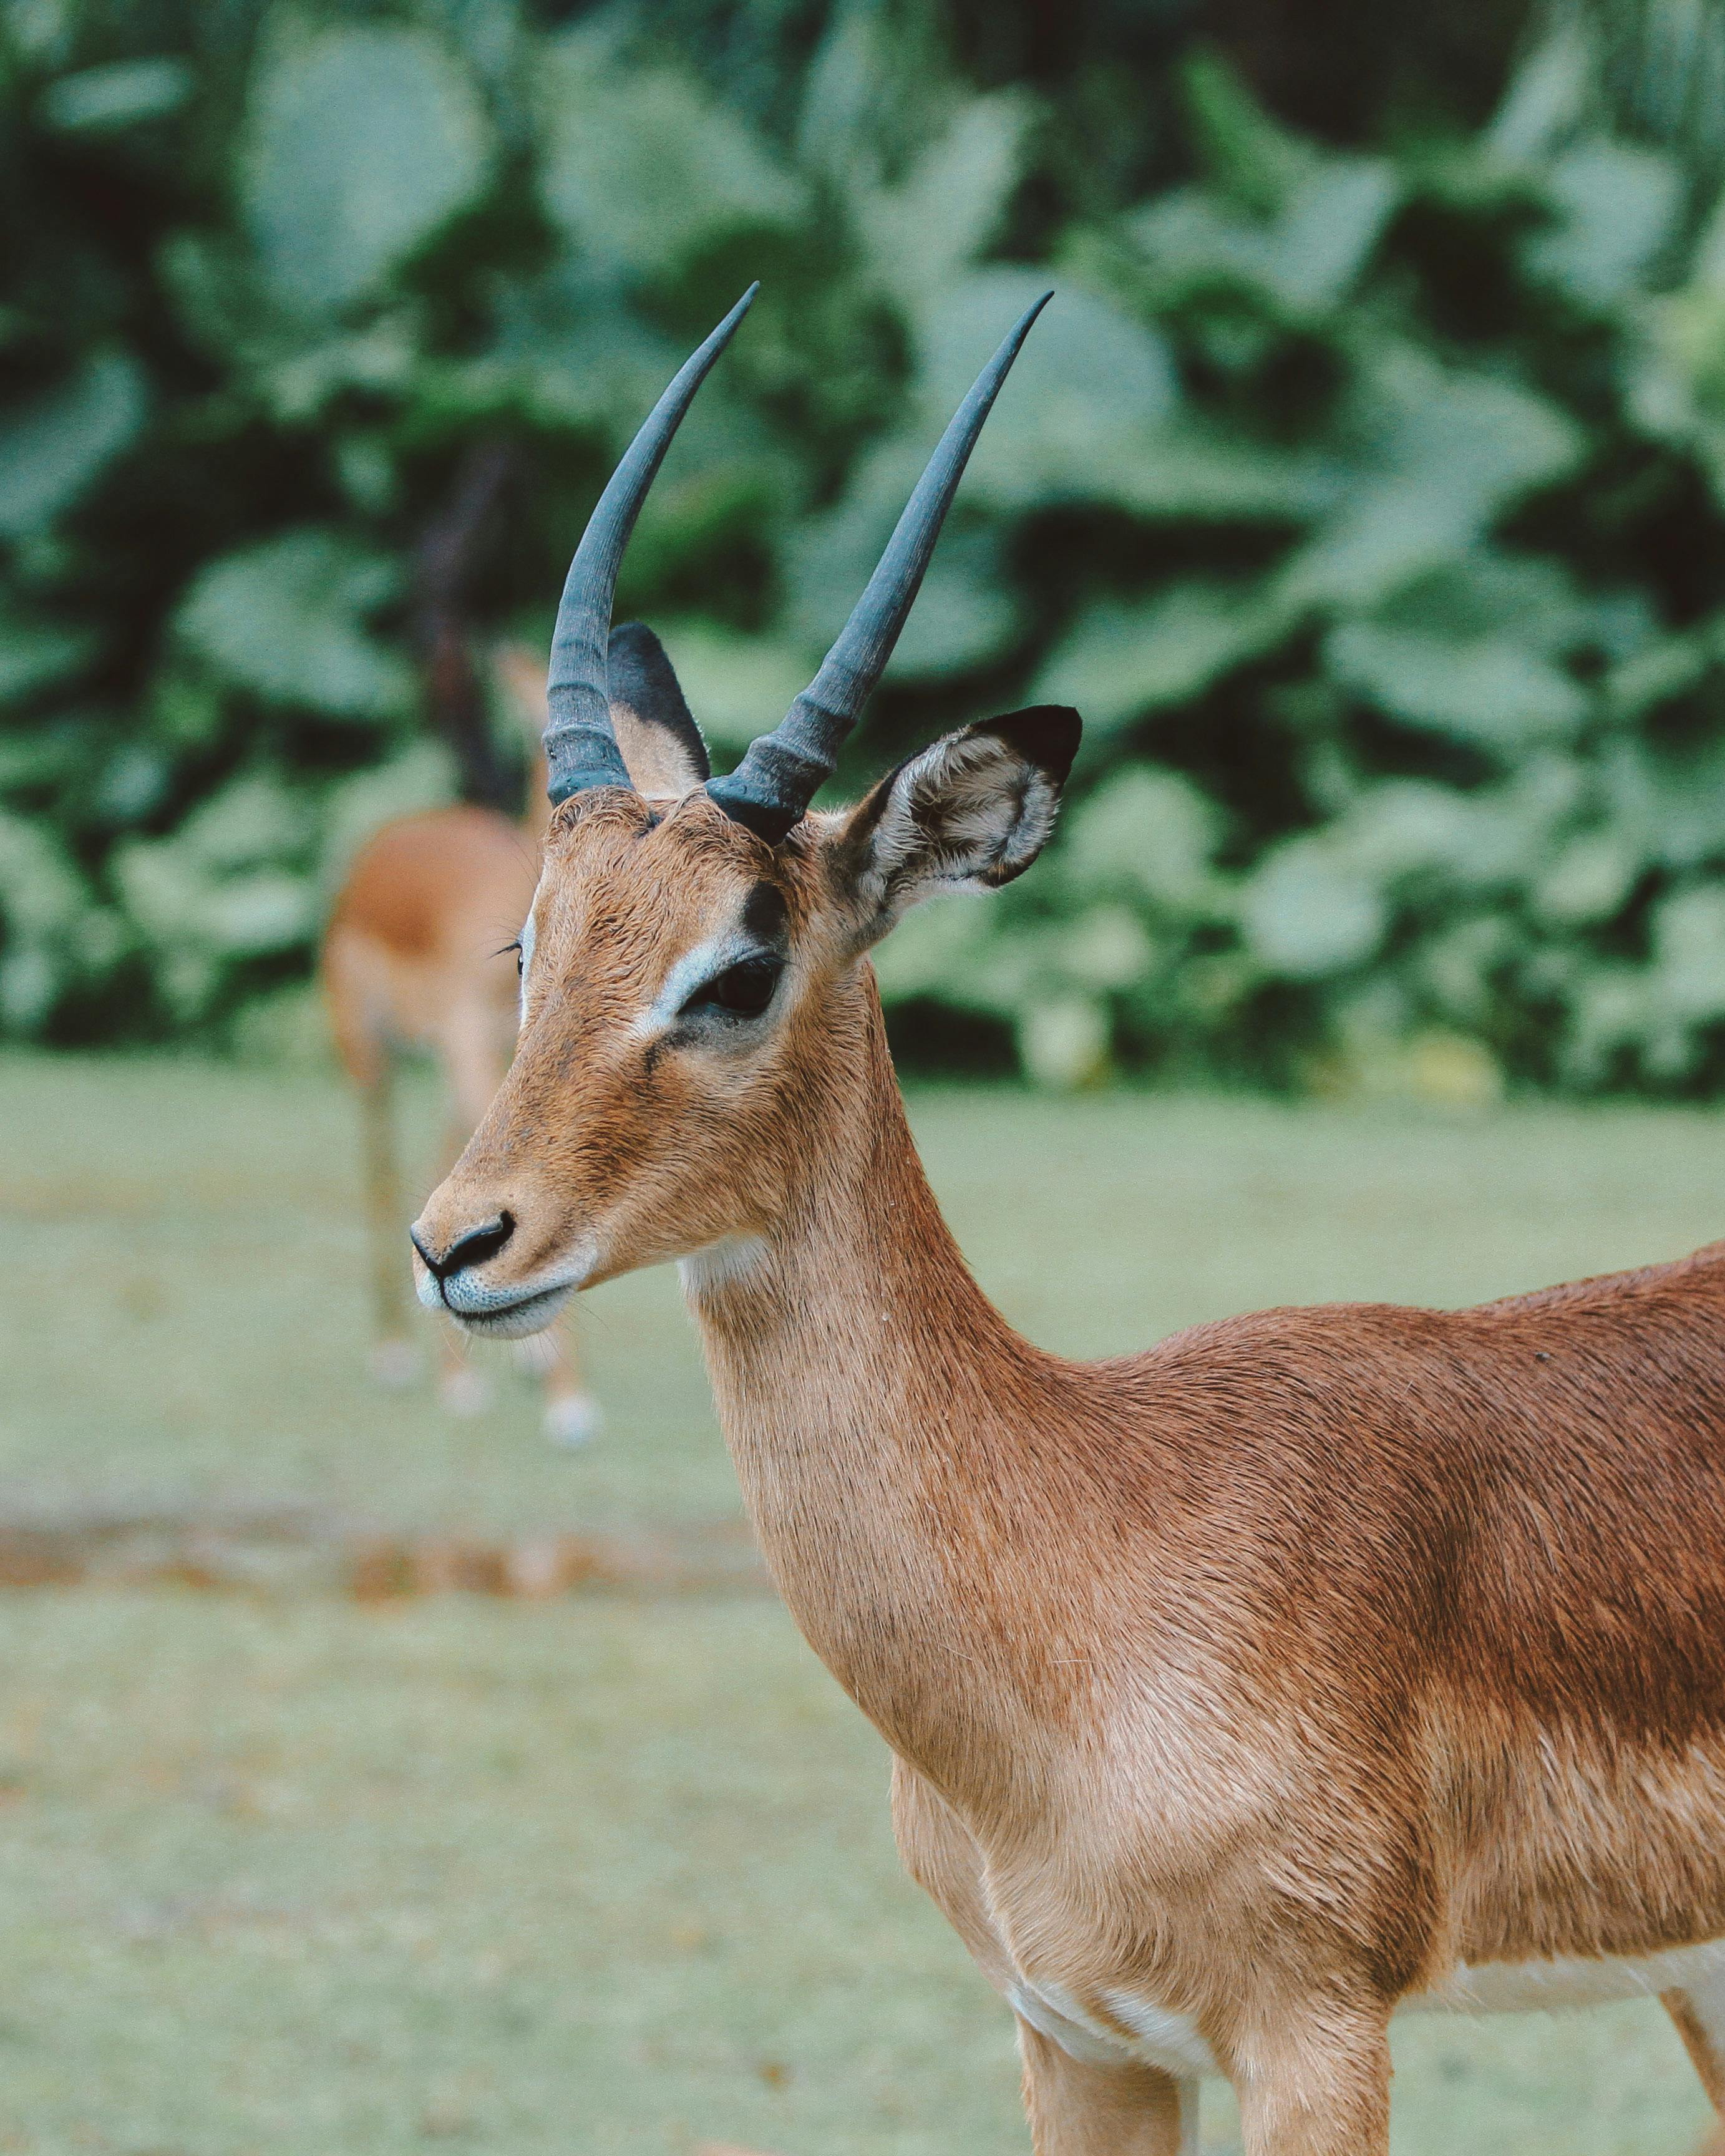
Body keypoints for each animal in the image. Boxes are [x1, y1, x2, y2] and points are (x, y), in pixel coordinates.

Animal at [409, 286, 1725, 2153]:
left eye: (739, 963)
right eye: (532, 938)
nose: (463, 1243)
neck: (1095, 1557)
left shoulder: (1314, 2031)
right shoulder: (1077, 2034)